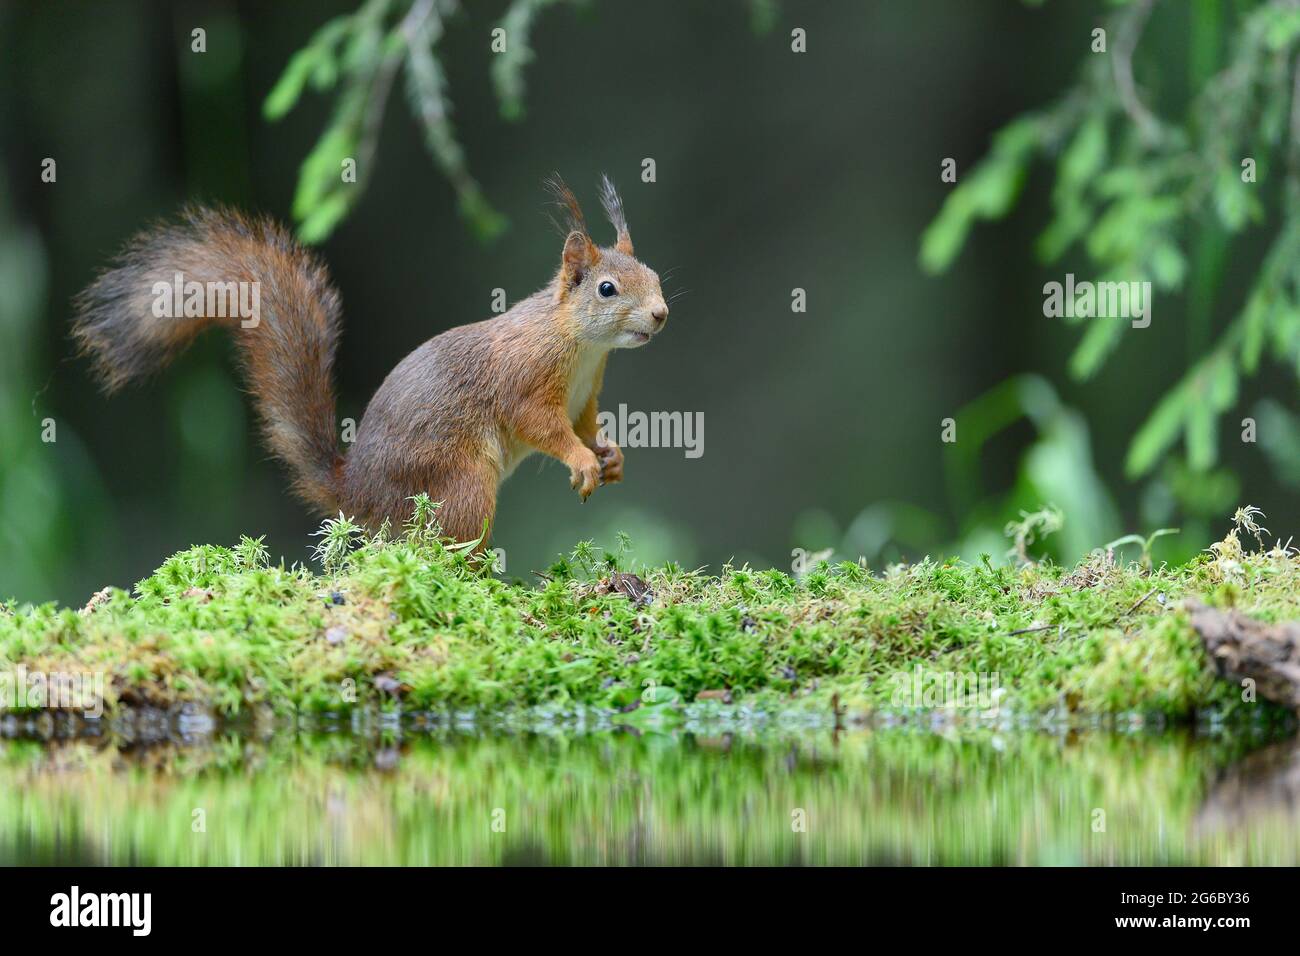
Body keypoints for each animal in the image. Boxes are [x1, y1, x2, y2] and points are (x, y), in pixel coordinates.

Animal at [71, 175, 669, 542]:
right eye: (608, 289)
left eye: (656, 276)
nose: (661, 314)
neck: (583, 345)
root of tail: (356, 494)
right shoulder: (527, 378)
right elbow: (542, 426)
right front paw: (582, 462)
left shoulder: (585, 395)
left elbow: (585, 424)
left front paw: (609, 455)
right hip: (461, 481)